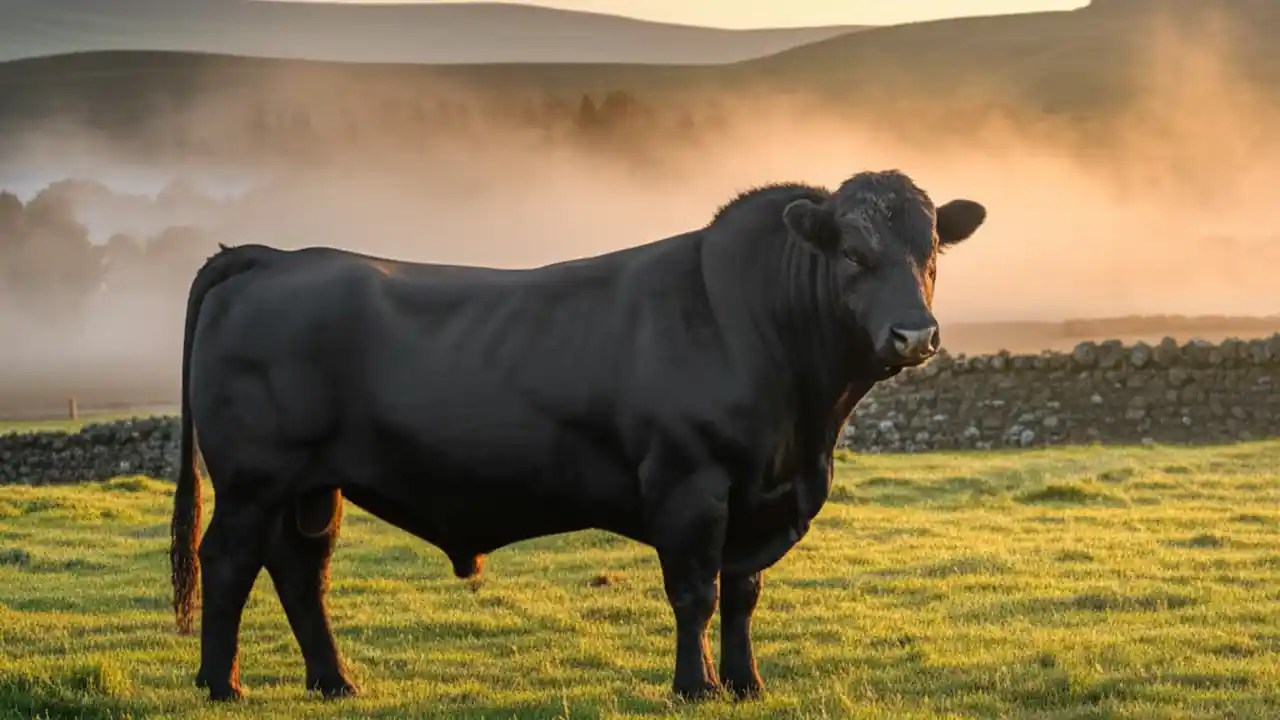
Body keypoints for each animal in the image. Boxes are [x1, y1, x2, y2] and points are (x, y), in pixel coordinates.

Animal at [170, 169, 985, 702]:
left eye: (931, 253)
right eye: (852, 253)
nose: (915, 335)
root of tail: (272, 257)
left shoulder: (758, 497)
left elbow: (742, 591)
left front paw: (746, 683)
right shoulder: (689, 482)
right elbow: (696, 591)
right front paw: (696, 687)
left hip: (312, 487)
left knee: (301, 570)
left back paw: (334, 681)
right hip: (254, 480)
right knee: (229, 560)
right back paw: (222, 685)